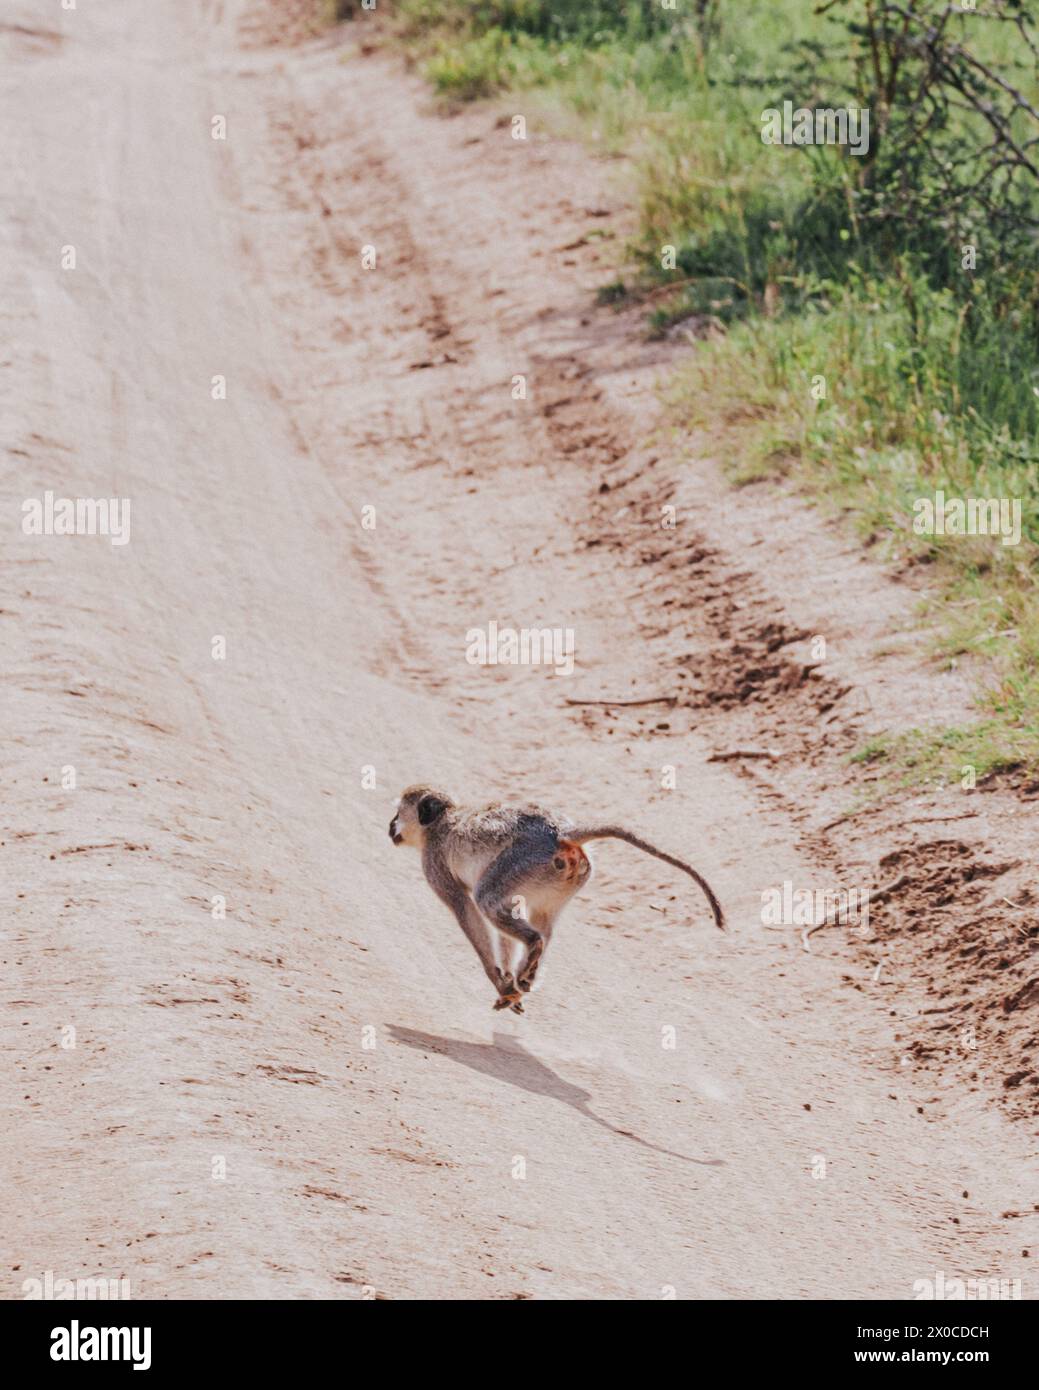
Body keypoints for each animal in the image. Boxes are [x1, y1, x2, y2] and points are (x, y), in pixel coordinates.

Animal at [388, 786, 724, 1014]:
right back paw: (526, 975)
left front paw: (498, 979)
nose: (390, 827)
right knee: (541, 921)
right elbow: (508, 911)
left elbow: (465, 908)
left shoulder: (434, 864)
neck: (441, 823)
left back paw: (531, 950)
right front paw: (508, 981)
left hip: (522, 860)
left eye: (398, 813)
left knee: (487, 901)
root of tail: (560, 831)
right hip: (561, 877)